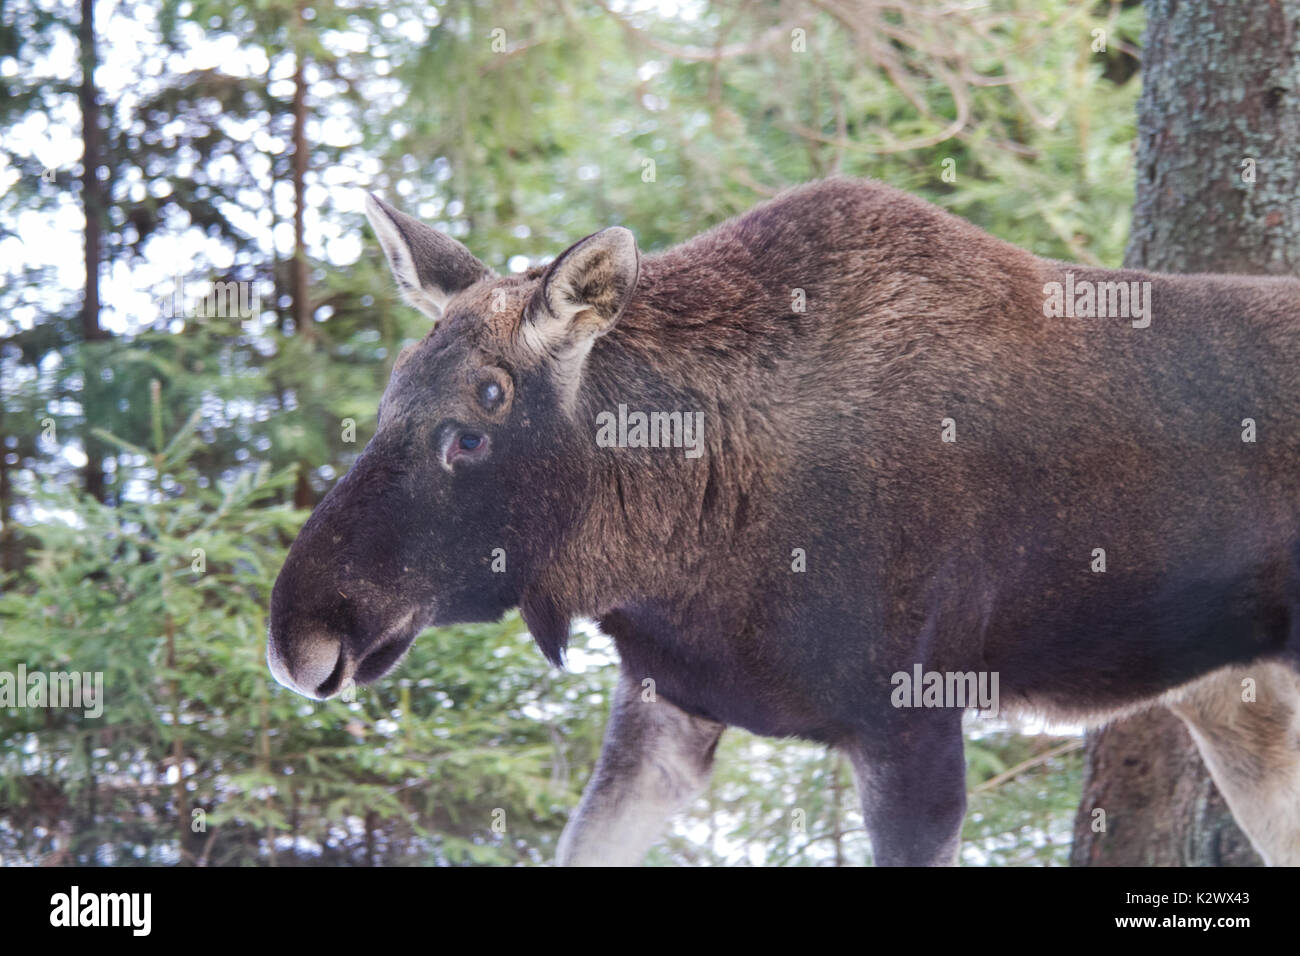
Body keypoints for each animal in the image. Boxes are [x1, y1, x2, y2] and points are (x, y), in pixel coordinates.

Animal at [268, 178, 1300, 865]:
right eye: (389, 391)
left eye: (476, 420)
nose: (295, 635)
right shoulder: (666, 704)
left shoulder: (911, 726)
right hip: (1239, 702)